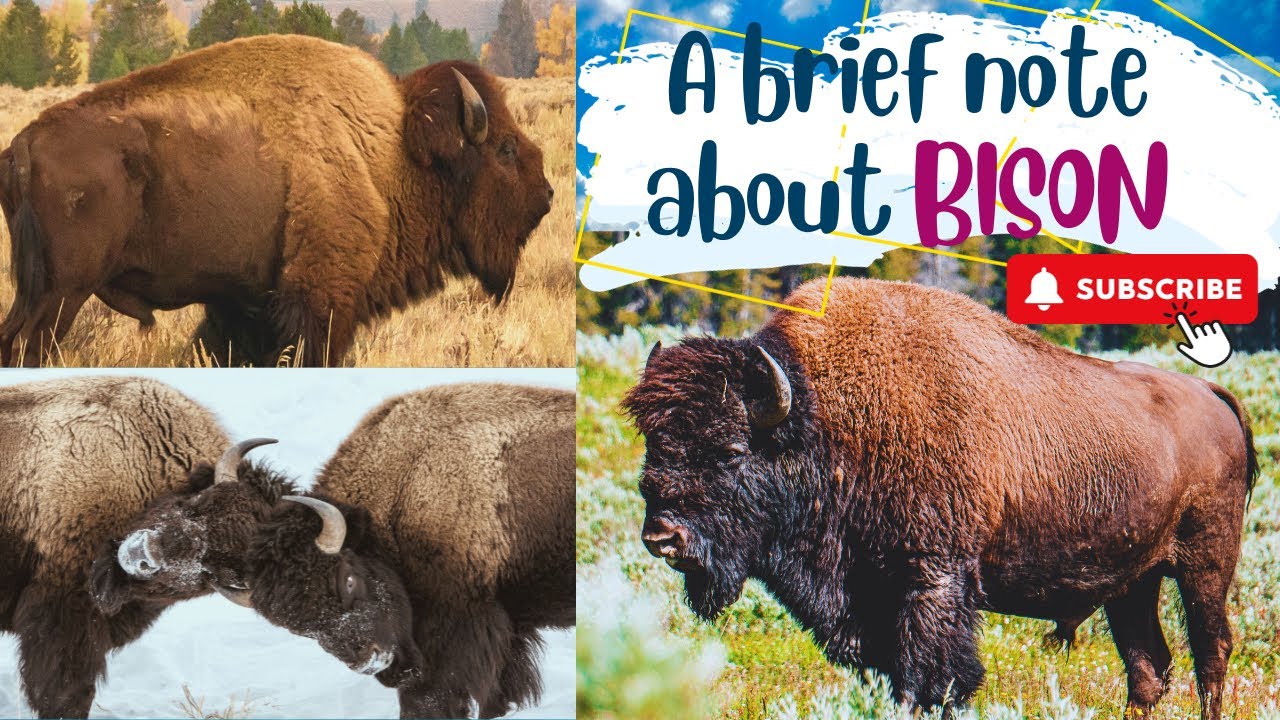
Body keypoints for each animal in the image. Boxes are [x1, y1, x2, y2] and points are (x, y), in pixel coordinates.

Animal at [0, 35, 552, 367]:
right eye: (504, 150)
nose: (546, 195)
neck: (391, 151)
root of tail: (24, 144)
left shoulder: (245, 304)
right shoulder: (322, 302)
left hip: (37, 291)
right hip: (62, 293)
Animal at [624, 278, 1257, 720]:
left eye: (731, 450)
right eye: (654, 443)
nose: (662, 537)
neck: (823, 421)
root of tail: (1213, 393)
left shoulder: (930, 583)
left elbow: (934, 679)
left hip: (1204, 566)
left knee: (1211, 651)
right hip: (1133, 582)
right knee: (1148, 667)